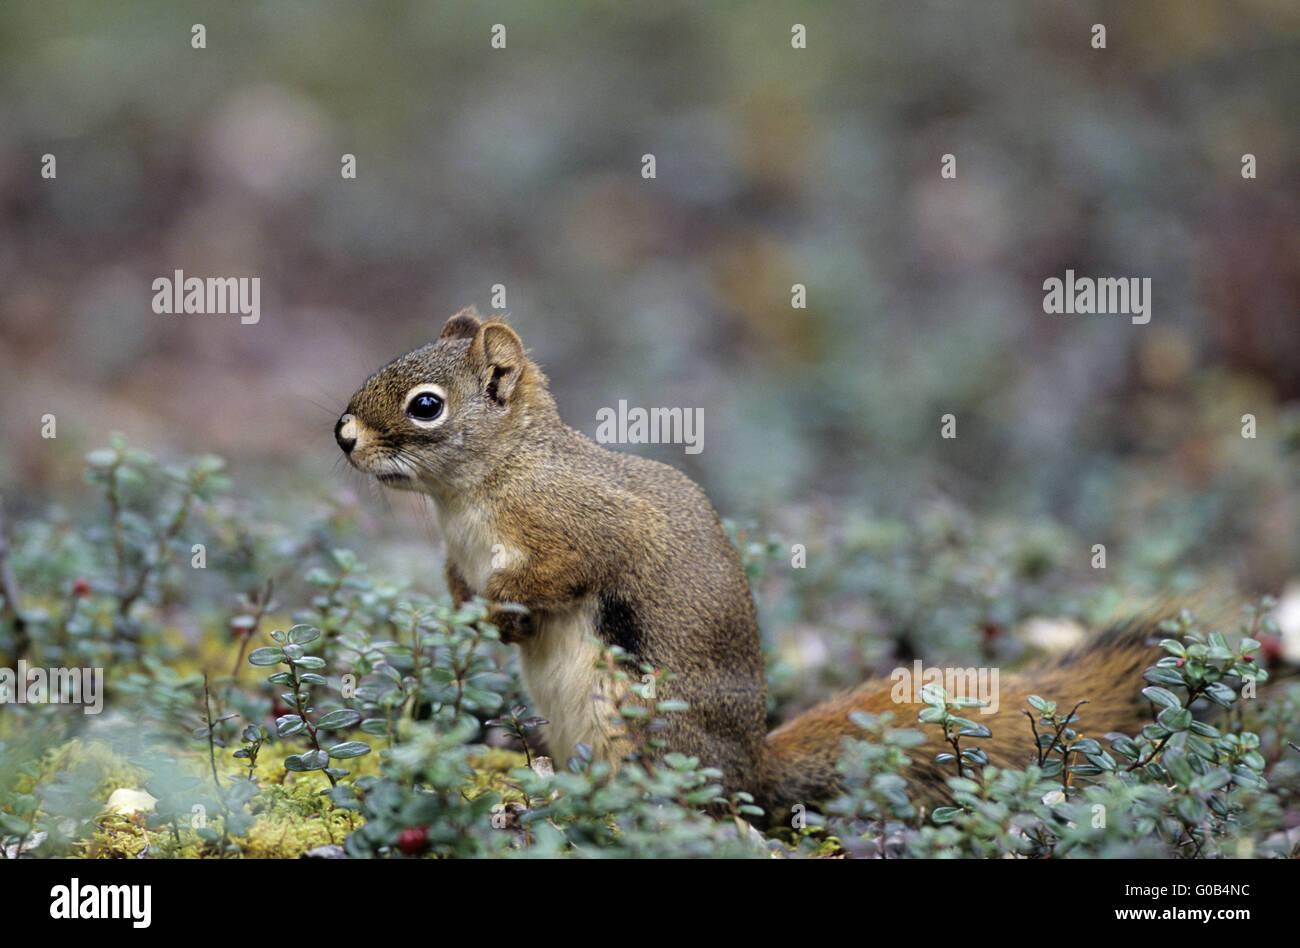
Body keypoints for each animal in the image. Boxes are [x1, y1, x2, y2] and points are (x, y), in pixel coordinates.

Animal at [336, 307, 1166, 820]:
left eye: (426, 406)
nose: (342, 435)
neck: (475, 493)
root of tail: (753, 771)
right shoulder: (459, 552)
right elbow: (458, 583)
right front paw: (469, 613)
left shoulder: (582, 527)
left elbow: (557, 575)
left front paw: (501, 611)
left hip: (641, 723)